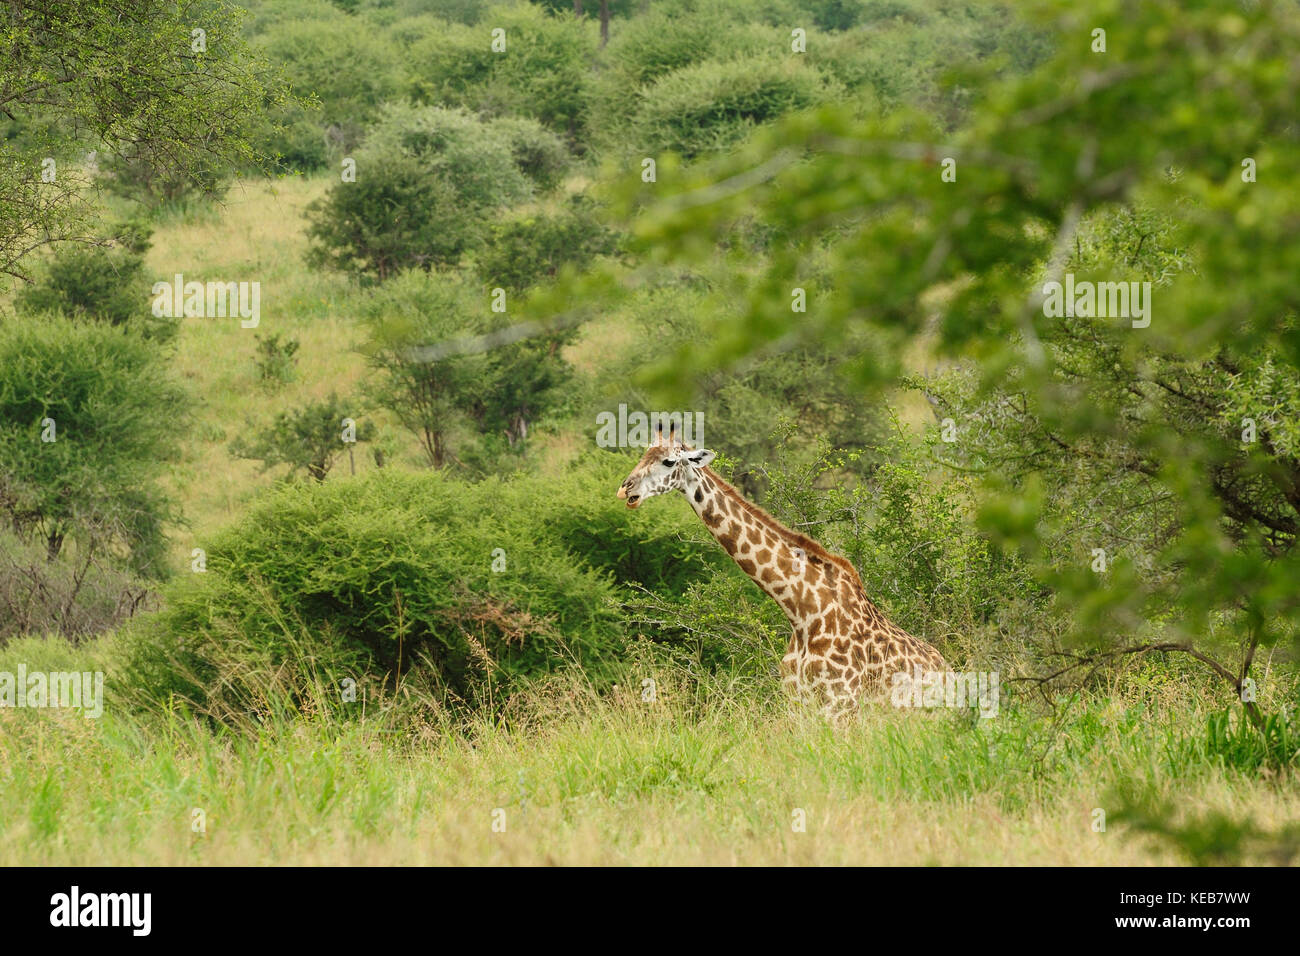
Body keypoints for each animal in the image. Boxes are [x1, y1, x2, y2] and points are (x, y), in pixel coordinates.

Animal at [617, 422, 946, 718]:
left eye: (669, 461)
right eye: (643, 454)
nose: (624, 489)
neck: (802, 612)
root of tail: (947, 667)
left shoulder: (840, 704)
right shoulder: (797, 702)